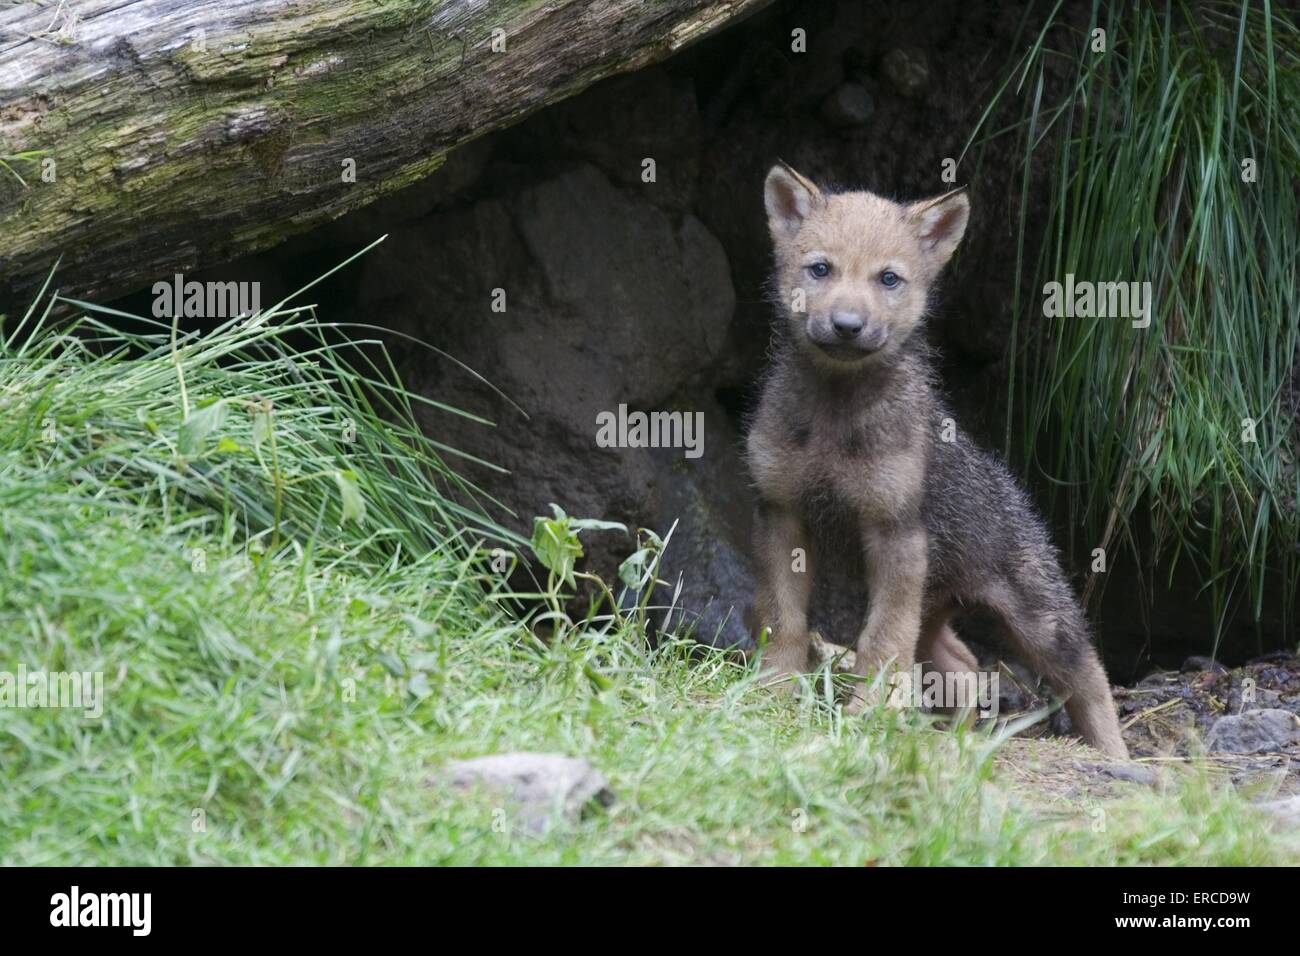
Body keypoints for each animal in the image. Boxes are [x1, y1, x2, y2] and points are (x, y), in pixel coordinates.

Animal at [745, 162, 1128, 760]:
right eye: (821, 269)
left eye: (888, 279)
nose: (848, 324)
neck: (835, 417)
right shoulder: (780, 515)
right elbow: (783, 622)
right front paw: (772, 694)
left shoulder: (894, 531)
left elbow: (879, 646)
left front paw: (867, 714)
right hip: (933, 613)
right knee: (965, 666)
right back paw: (957, 736)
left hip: (1038, 619)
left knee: (1089, 676)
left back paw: (1120, 758)